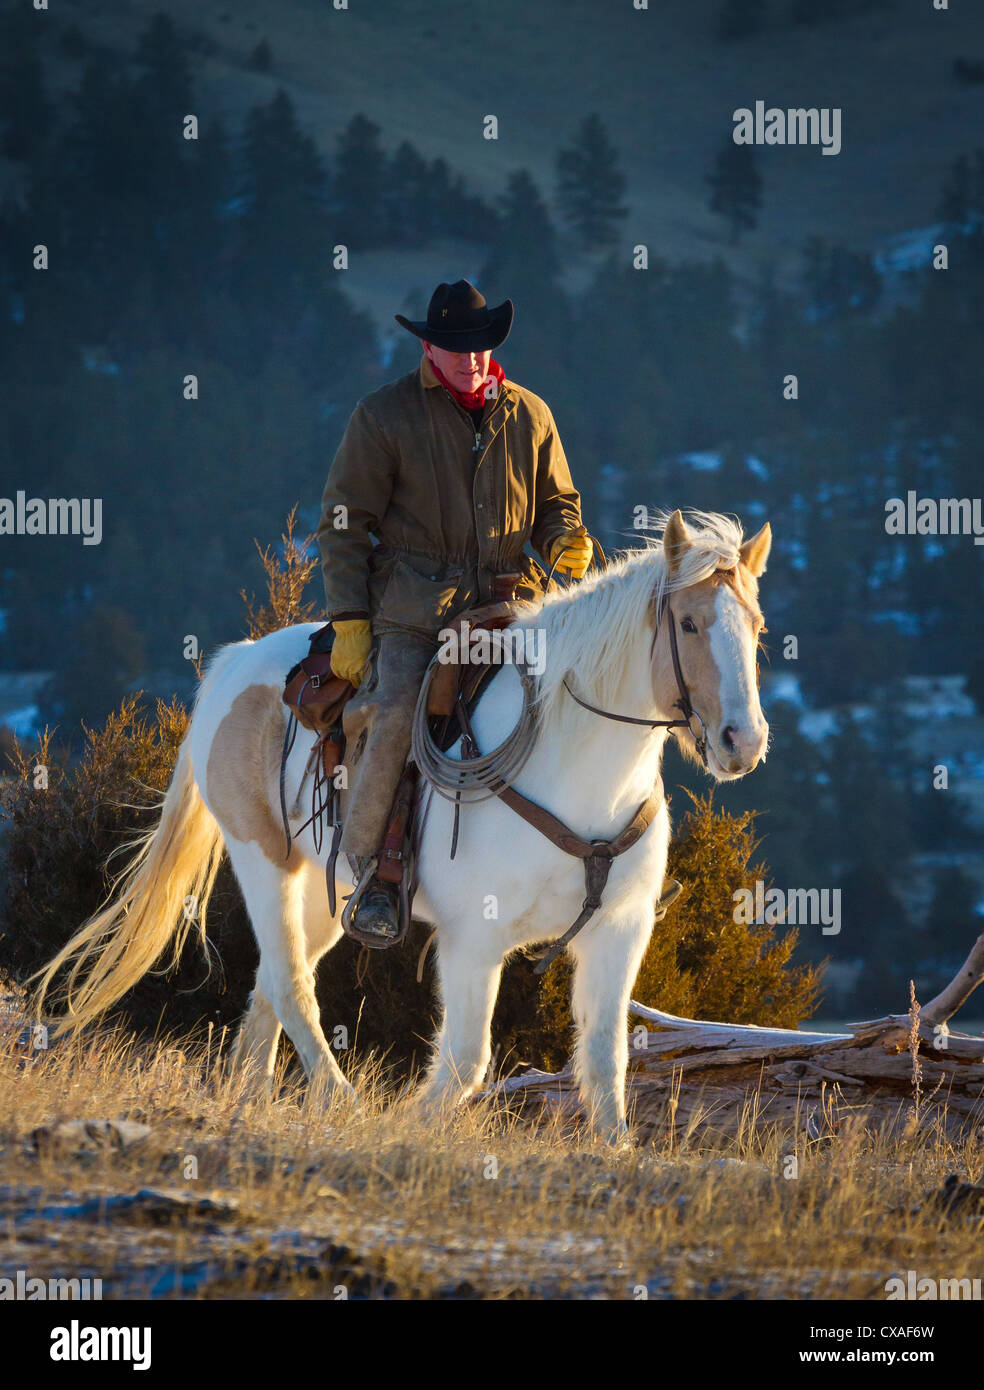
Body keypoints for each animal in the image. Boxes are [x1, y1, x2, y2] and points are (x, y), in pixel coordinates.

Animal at [34, 509, 772, 1144]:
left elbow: (603, 1059)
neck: (576, 772)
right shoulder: (473, 939)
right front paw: (407, 1127)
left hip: (329, 892)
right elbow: (466, 1061)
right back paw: (339, 1101)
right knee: (290, 983)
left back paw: (250, 1099)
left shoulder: (619, 930)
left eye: (757, 627)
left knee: (275, 977)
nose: (743, 740)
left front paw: (614, 1152)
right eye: (688, 624)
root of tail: (233, 664)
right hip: (263, 861)